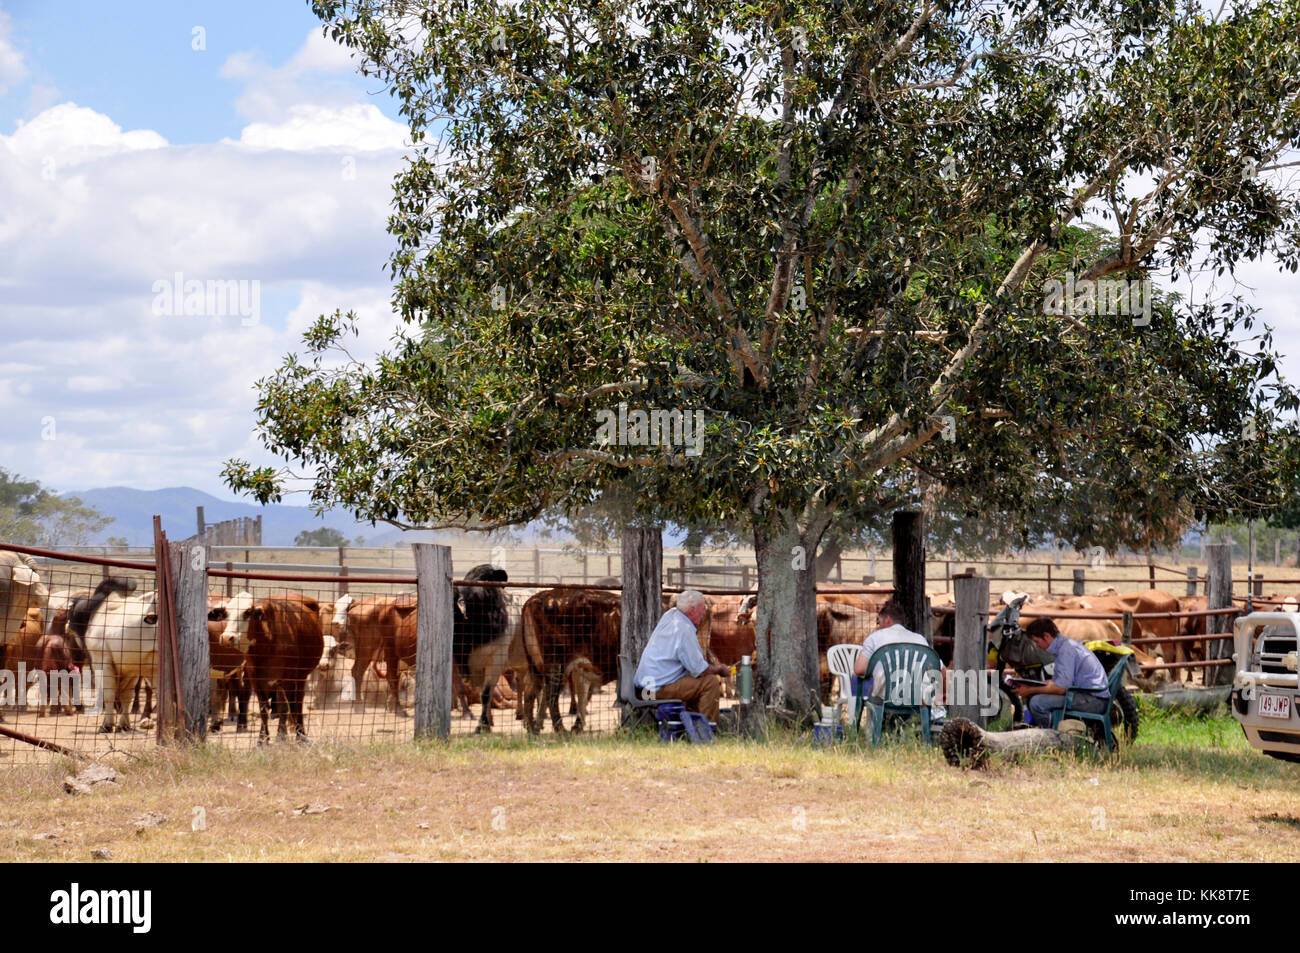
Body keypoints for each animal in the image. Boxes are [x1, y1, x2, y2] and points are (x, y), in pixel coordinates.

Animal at [84, 590, 159, 732]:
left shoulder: (102, 659)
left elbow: (108, 693)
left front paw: (107, 725)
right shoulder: (132, 668)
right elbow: (127, 696)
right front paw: (124, 724)